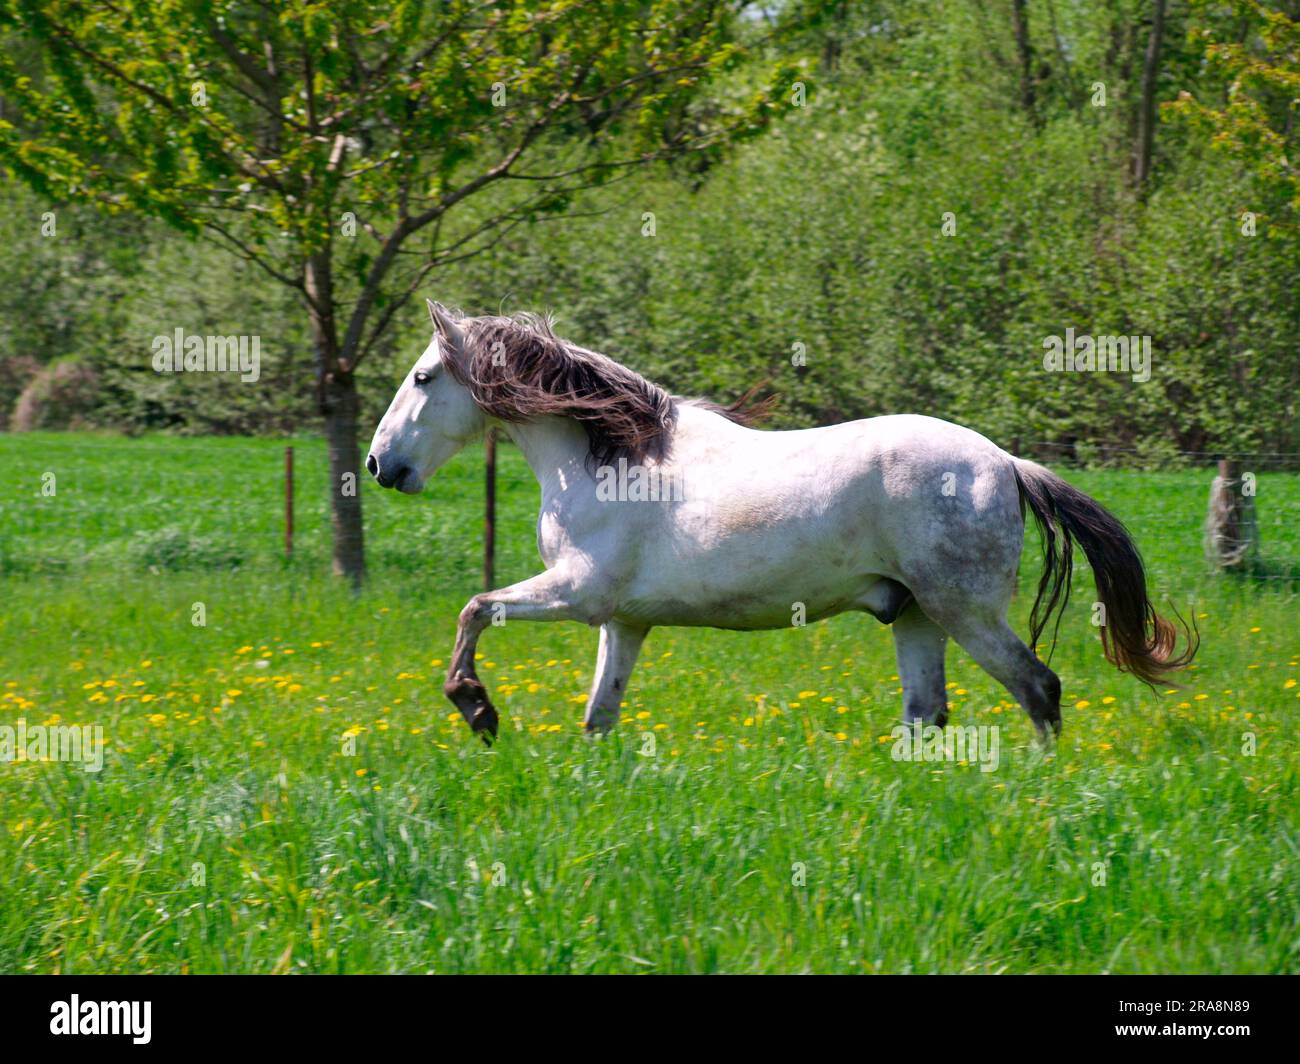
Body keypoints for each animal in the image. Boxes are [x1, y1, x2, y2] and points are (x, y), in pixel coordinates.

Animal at [367, 302, 1196, 743]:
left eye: (421, 378)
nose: (379, 465)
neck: (609, 455)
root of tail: (1007, 463)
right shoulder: (623, 620)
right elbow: (600, 715)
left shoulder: (577, 592)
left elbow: (475, 609)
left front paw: (476, 708)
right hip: (917, 616)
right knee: (928, 712)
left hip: (965, 611)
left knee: (1038, 687)